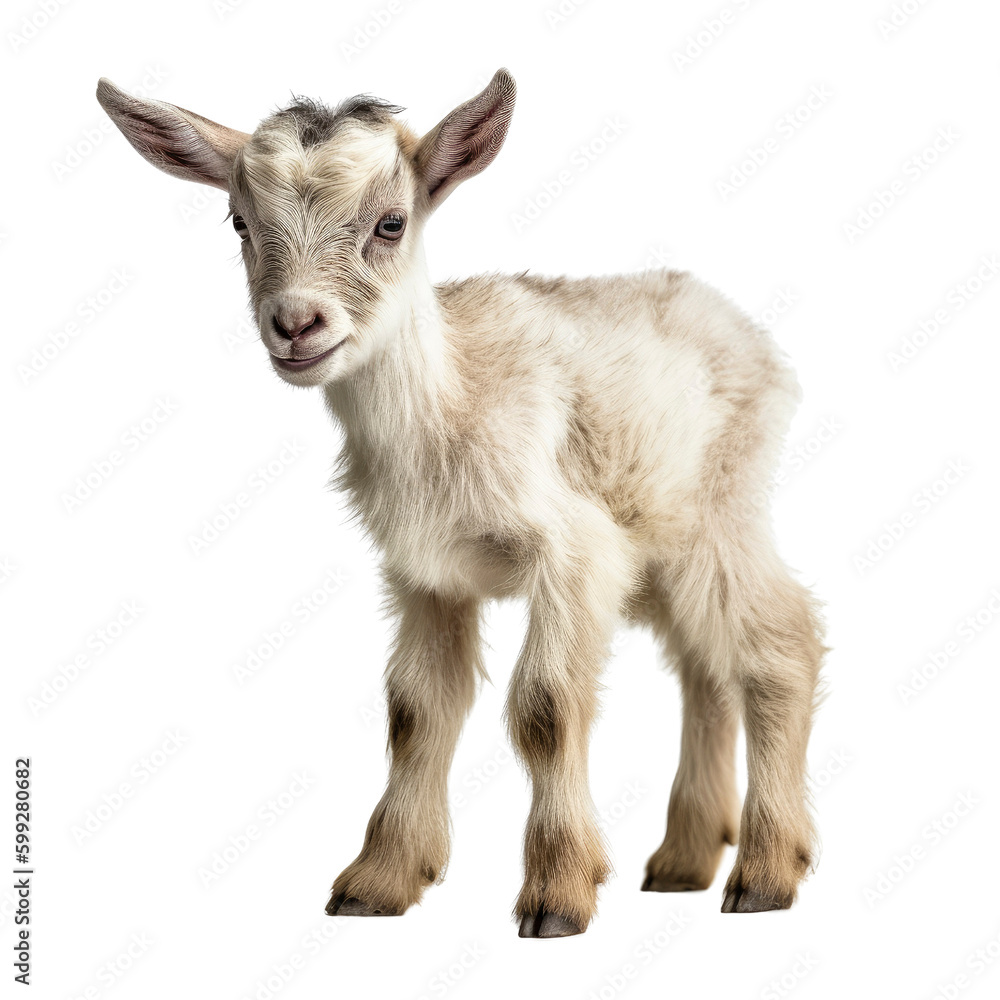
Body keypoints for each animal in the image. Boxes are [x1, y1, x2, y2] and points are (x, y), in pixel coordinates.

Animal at [97, 68, 825, 937]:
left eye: (390, 223)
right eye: (241, 223)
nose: (296, 323)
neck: (451, 400)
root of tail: (756, 340)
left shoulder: (576, 552)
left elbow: (546, 707)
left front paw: (557, 896)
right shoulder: (428, 574)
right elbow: (415, 712)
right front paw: (376, 884)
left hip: (722, 510)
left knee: (780, 646)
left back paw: (765, 874)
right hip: (664, 551)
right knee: (705, 670)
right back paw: (682, 863)